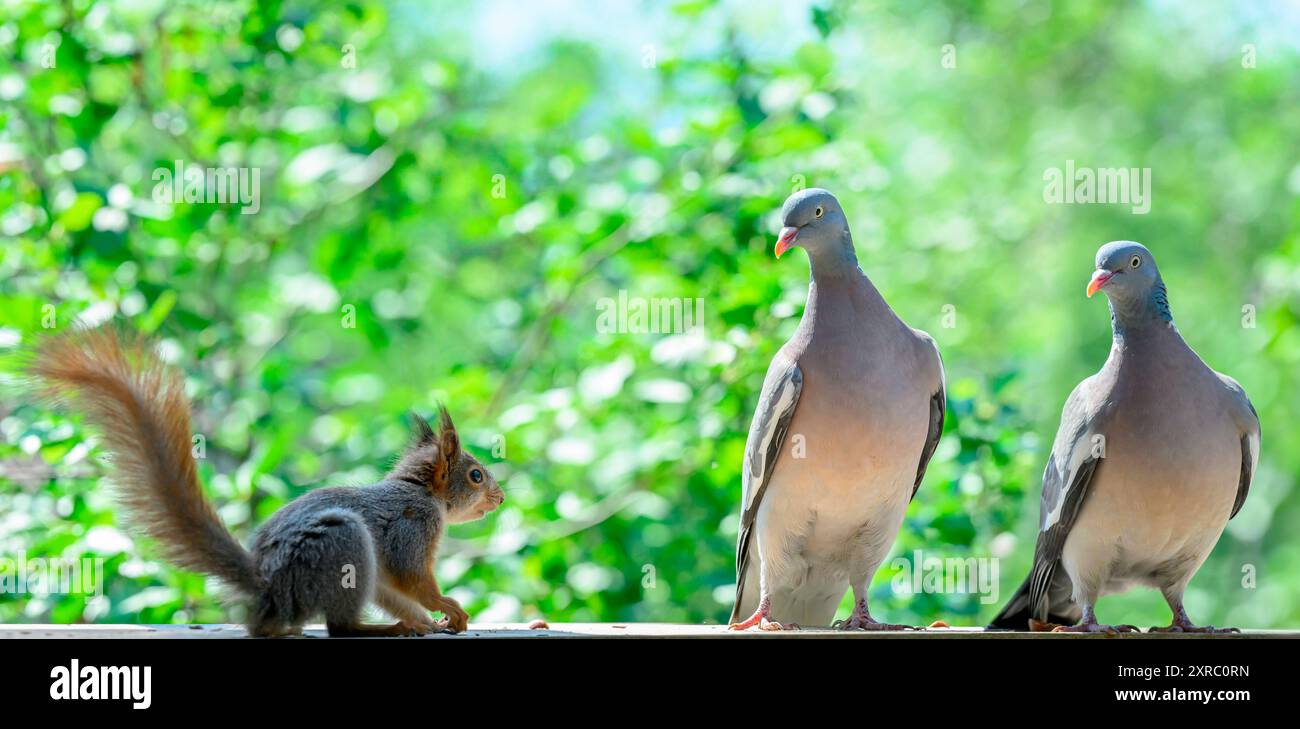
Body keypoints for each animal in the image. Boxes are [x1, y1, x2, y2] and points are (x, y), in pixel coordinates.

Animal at [29, 327, 504, 637]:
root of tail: (268, 587)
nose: (499, 497)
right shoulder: (413, 525)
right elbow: (412, 579)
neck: (423, 491)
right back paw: (385, 630)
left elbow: (392, 589)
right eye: (476, 475)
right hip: (343, 544)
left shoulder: (384, 569)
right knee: (341, 628)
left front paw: (432, 620)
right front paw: (444, 609)